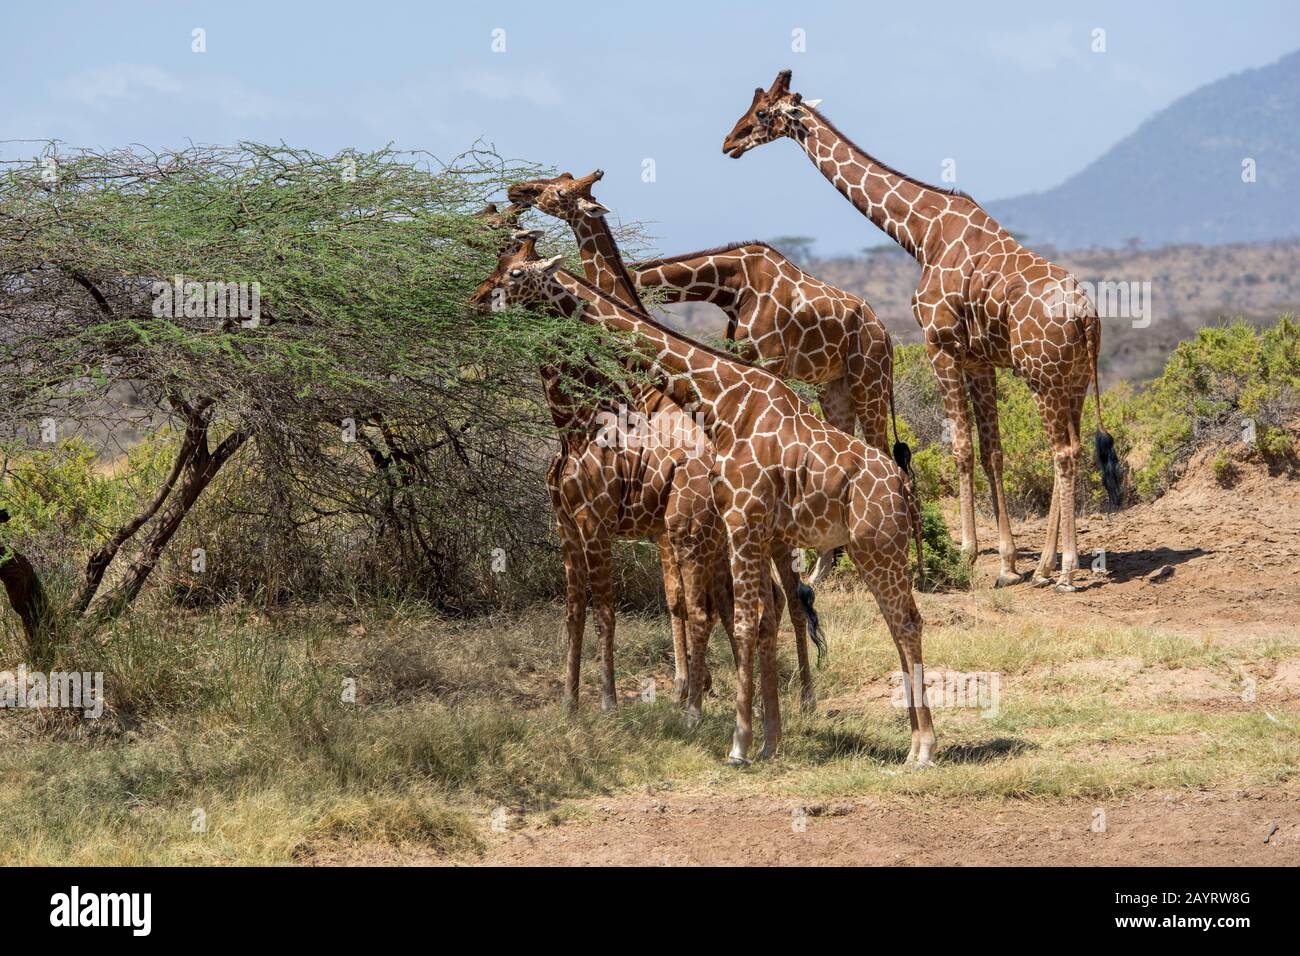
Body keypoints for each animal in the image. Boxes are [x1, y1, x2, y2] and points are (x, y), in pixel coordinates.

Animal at [475, 241, 932, 768]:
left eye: (514, 273)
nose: (476, 300)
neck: (722, 404)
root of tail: (903, 487)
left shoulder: (741, 522)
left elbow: (743, 620)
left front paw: (738, 744)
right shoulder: (748, 528)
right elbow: (755, 618)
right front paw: (770, 741)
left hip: (878, 542)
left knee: (906, 621)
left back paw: (924, 747)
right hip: (867, 547)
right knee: (895, 623)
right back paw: (910, 745)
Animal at [505, 170, 824, 708]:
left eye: (559, 191)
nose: (517, 191)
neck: (641, 387)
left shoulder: (663, 521)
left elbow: (684, 601)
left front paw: (690, 686)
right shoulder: (664, 523)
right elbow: (685, 601)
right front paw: (696, 684)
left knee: (786, 597)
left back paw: (801, 694)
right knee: (779, 596)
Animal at [723, 69, 1122, 591]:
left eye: (763, 113)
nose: (730, 141)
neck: (920, 233)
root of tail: (1086, 315)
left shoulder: (940, 346)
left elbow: (962, 448)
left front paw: (970, 552)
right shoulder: (979, 359)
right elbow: (992, 451)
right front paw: (1009, 563)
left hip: (1043, 375)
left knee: (1064, 452)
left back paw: (1068, 569)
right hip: (1071, 379)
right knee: (1067, 447)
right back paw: (1044, 567)